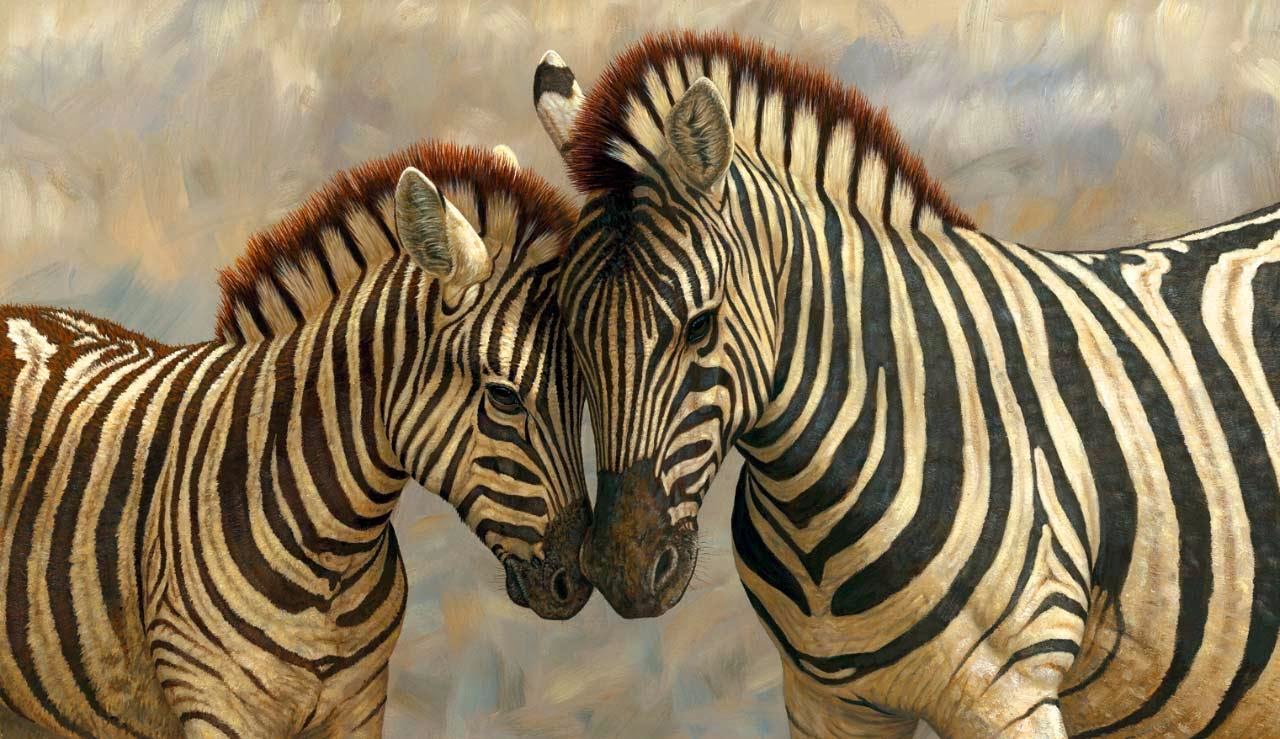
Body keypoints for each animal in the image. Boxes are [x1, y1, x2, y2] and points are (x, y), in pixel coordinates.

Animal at [0, 140, 591, 737]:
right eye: (505, 396)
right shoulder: (217, 708)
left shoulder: (360, 708)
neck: (335, 558)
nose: (578, 583)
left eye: (586, 396)